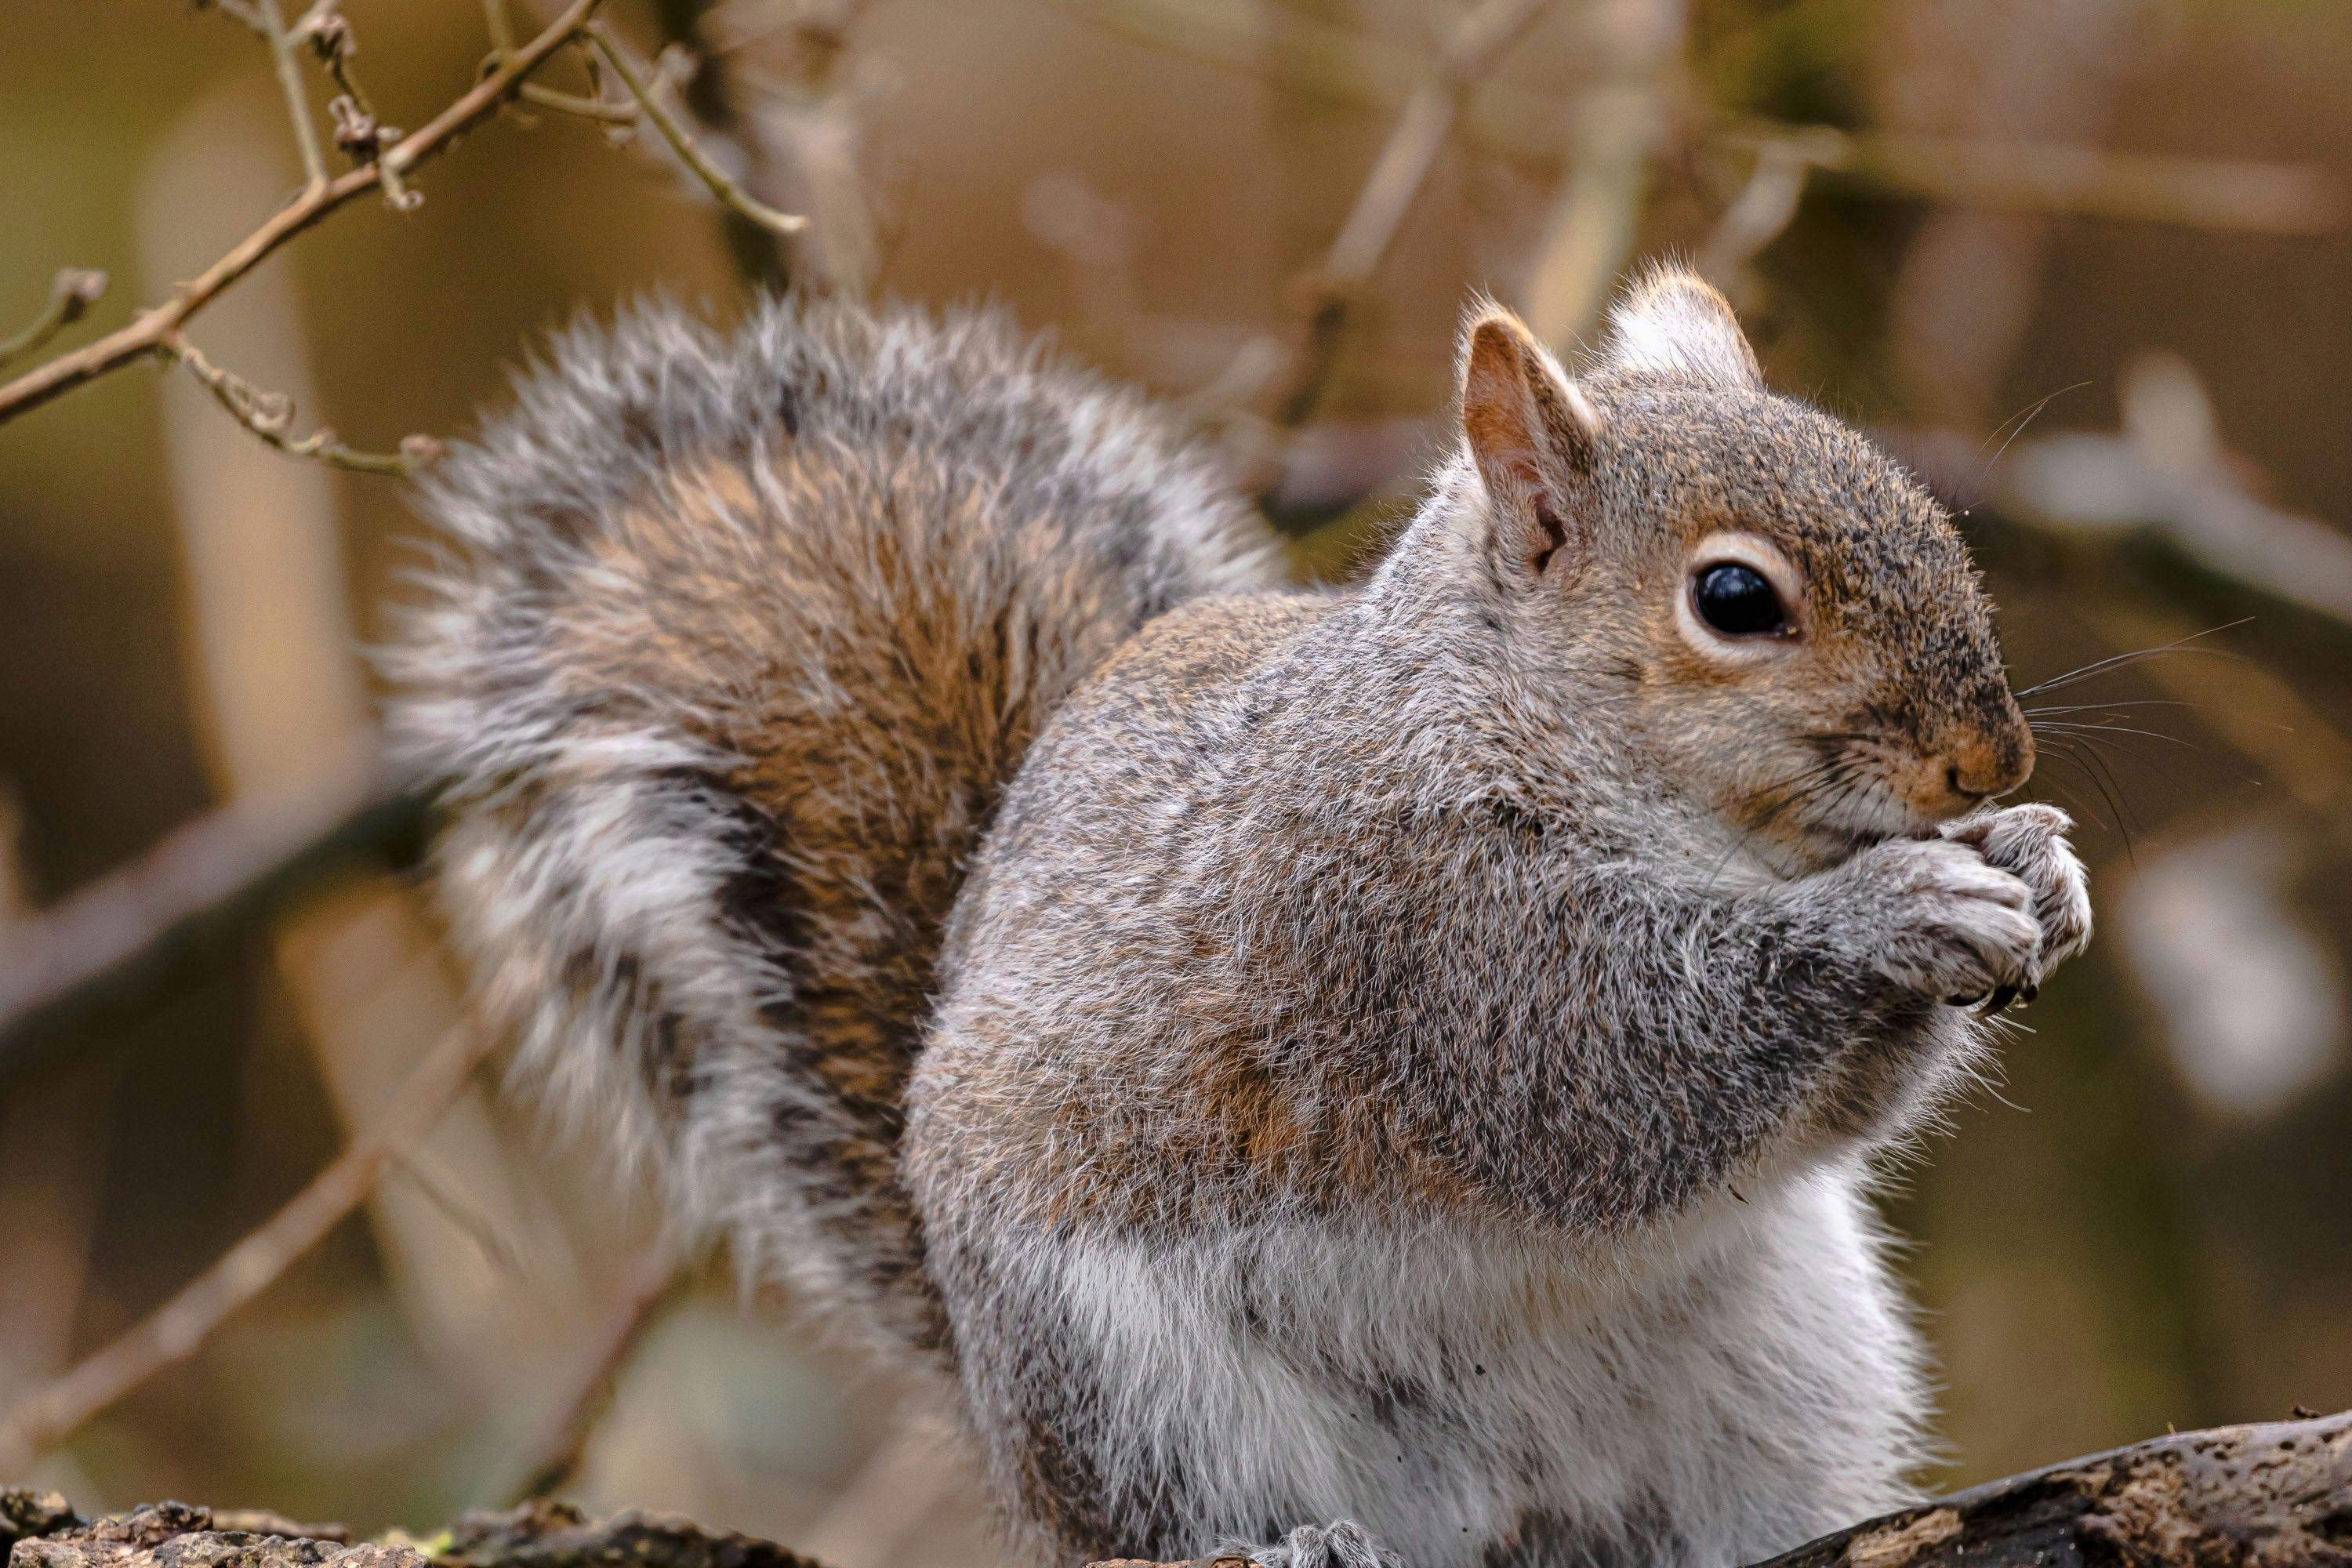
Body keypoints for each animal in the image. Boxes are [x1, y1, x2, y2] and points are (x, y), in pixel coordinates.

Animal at [390, 267, 2092, 1568]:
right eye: (1735, 601)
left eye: (1923, 506)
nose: (1989, 761)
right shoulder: (1406, 934)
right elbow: (1619, 1078)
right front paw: (1896, 907)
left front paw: (2035, 862)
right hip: (1134, 1386)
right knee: (1168, 1525)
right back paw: (1290, 1547)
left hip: (1788, 1357)